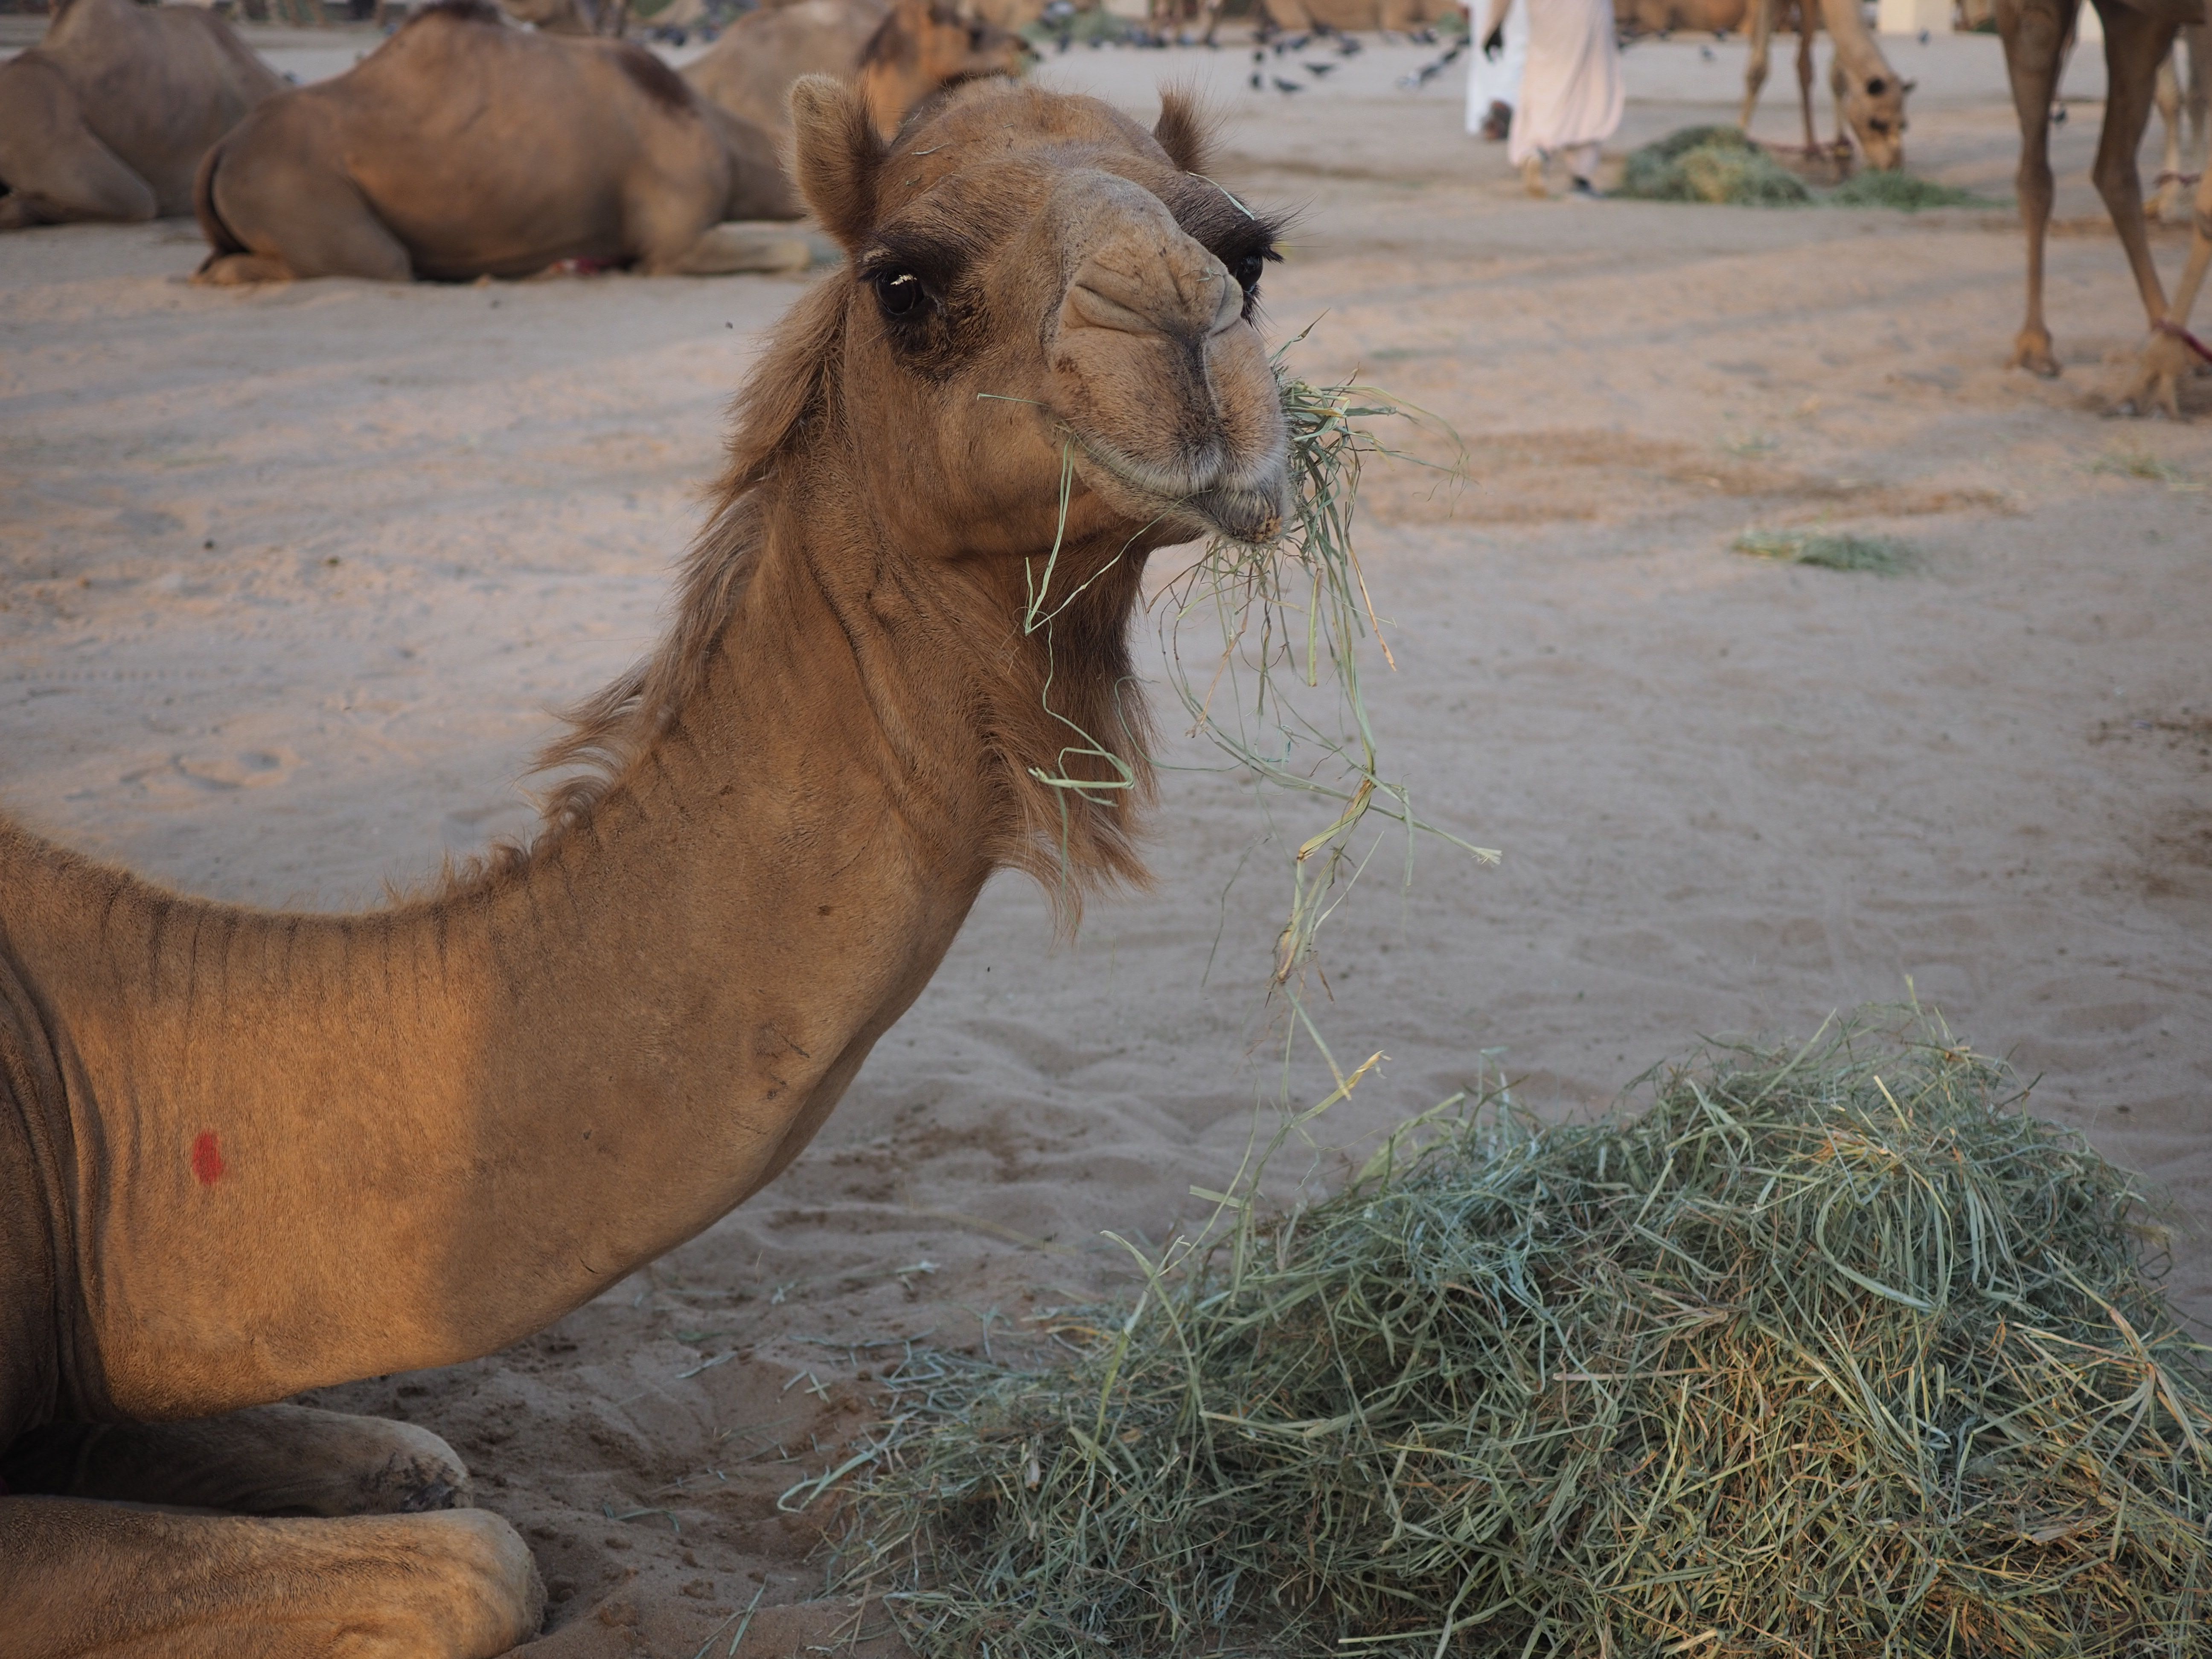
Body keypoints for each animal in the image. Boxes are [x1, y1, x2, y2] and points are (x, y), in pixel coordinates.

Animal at [0, 71, 1290, 1657]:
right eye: (903, 283)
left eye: (1248, 254)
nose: (1185, 329)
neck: (91, 1109)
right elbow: (479, 1557)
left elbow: (413, 1457)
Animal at [1739, 0, 1912, 169]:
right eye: (1875, 123)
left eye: (1904, 125)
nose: (1894, 164)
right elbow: (1758, 70)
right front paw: (1740, 139)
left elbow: (1837, 76)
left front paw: (1839, 145)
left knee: (1803, 63)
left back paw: (1812, 148)